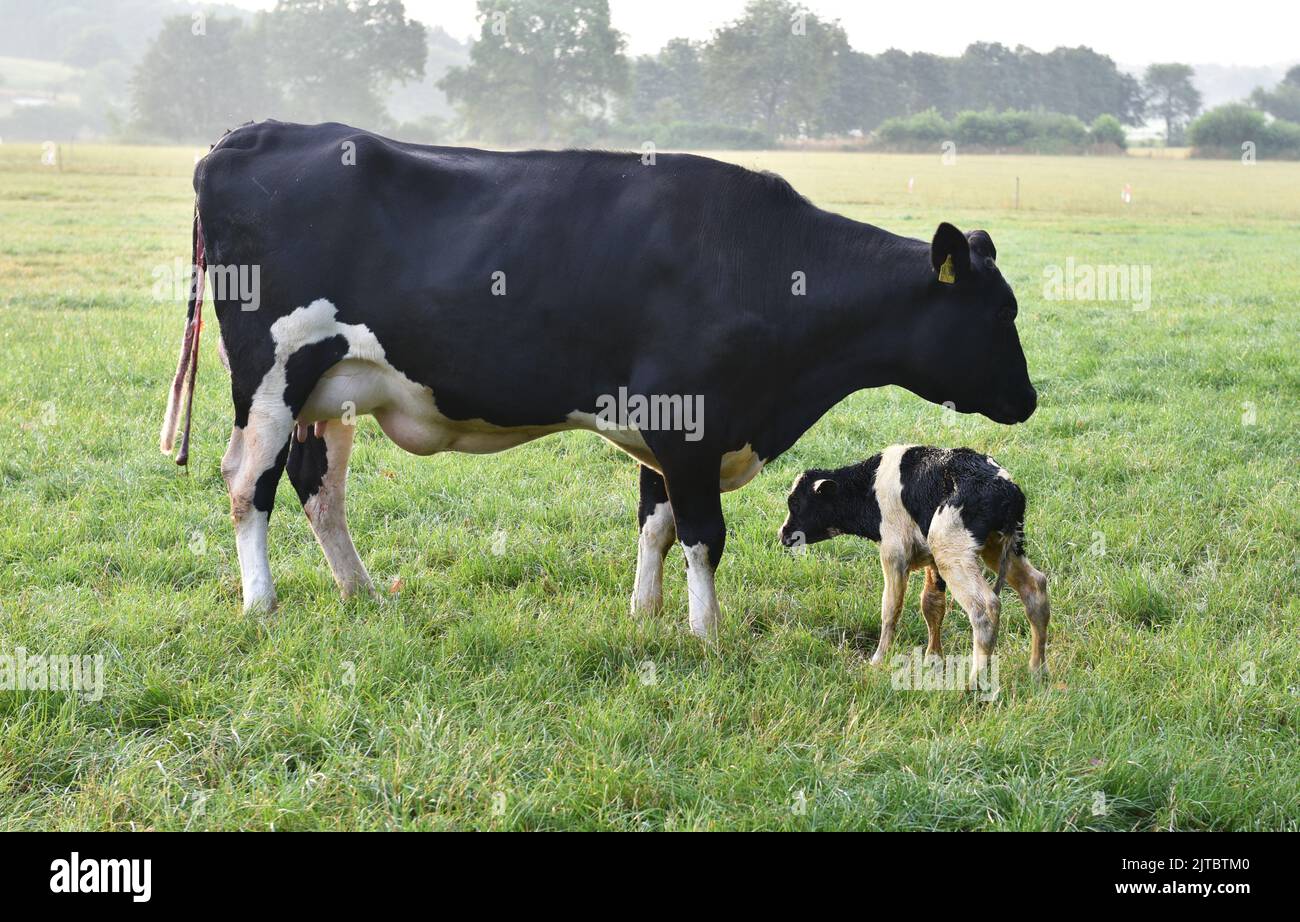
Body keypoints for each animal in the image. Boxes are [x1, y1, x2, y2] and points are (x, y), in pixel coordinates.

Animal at [160, 121, 1037, 638]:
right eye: (1001, 312)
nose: (1029, 400)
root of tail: (254, 133)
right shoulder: (692, 418)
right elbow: (704, 535)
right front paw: (706, 635)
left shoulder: (667, 428)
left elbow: (654, 523)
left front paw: (645, 614)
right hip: (271, 377)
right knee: (248, 483)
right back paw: (262, 603)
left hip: (334, 390)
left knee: (317, 487)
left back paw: (361, 593)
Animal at [779, 446, 1051, 682]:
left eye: (796, 503)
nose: (783, 533)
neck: (870, 489)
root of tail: (1007, 489)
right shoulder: (931, 560)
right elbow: (931, 605)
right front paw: (933, 659)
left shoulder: (894, 552)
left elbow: (891, 608)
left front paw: (878, 659)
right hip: (999, 548)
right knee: (1035, 586)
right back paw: (1036, 671)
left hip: (952, 552)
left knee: (986, 607)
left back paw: (974, 684)